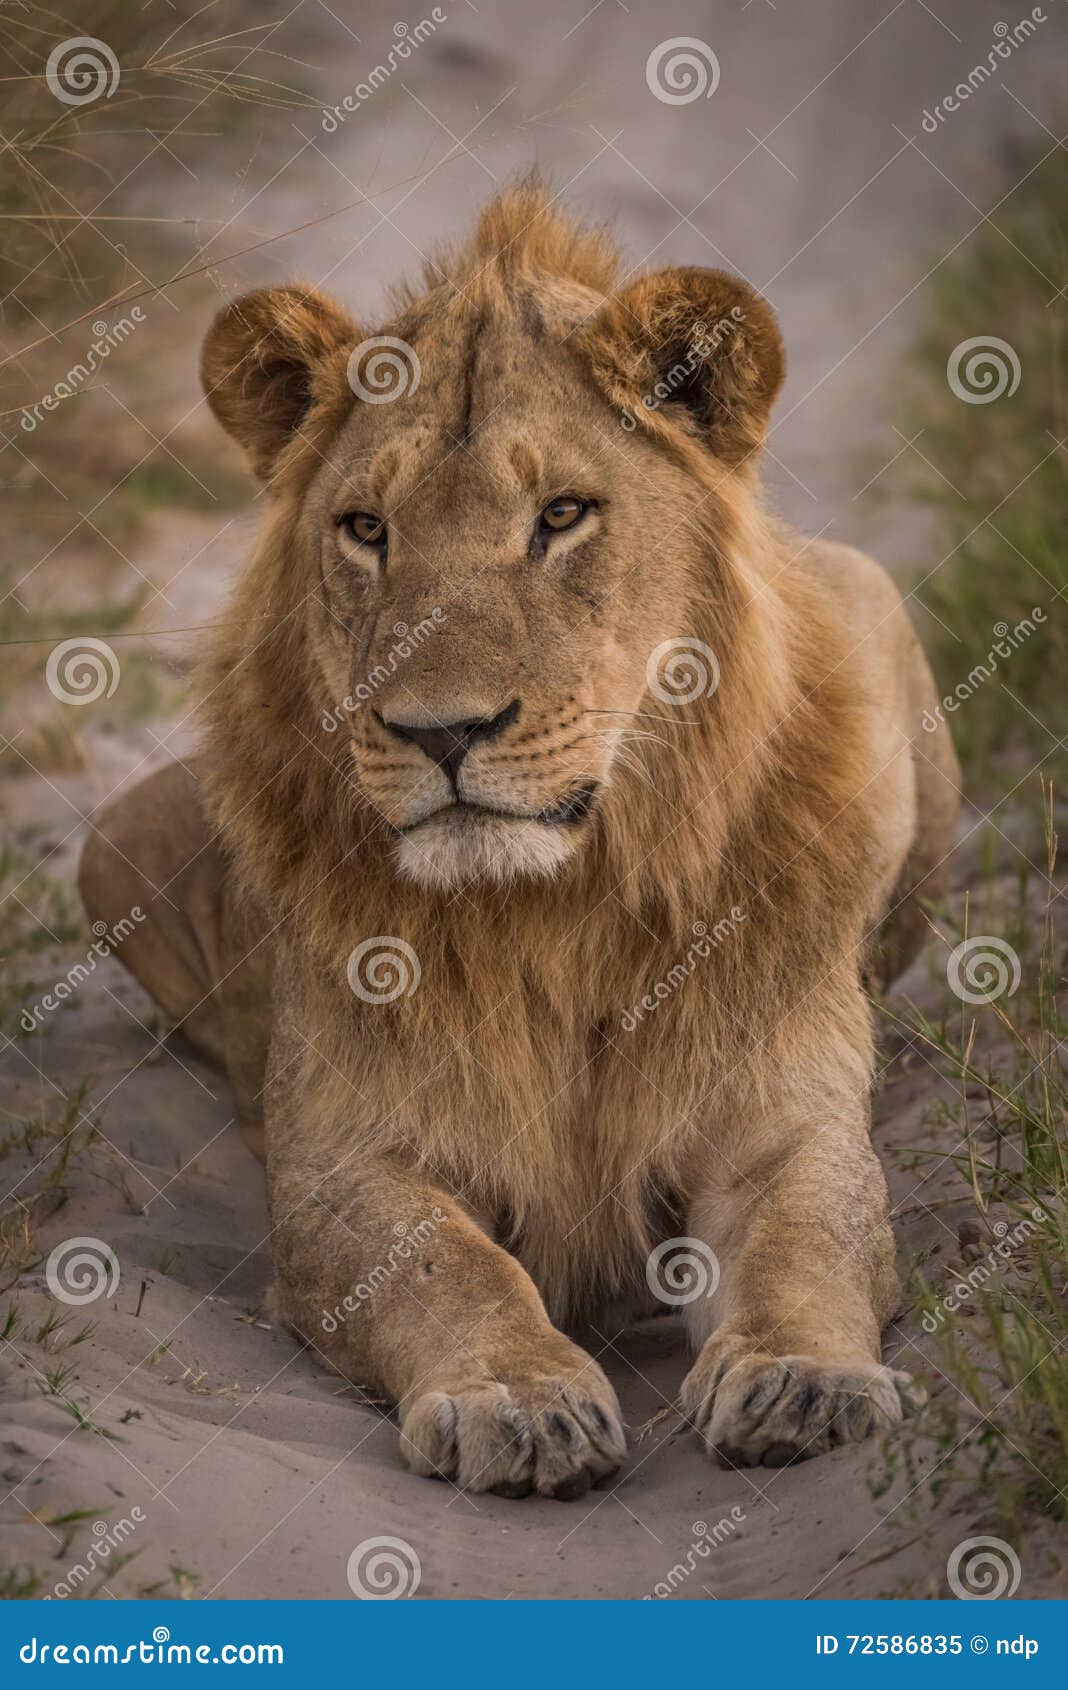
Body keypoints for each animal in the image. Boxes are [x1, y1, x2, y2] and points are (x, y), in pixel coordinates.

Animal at [80, 181, 960, 1497]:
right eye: (365, 528)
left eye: (562, 516)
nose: (441, 730)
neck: (556, 909)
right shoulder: (344, 1162)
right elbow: (449, 1265)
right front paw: (519, 1396)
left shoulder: (782, 1121)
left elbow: (809, 1234)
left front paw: (805, 1381)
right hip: (110, 841)